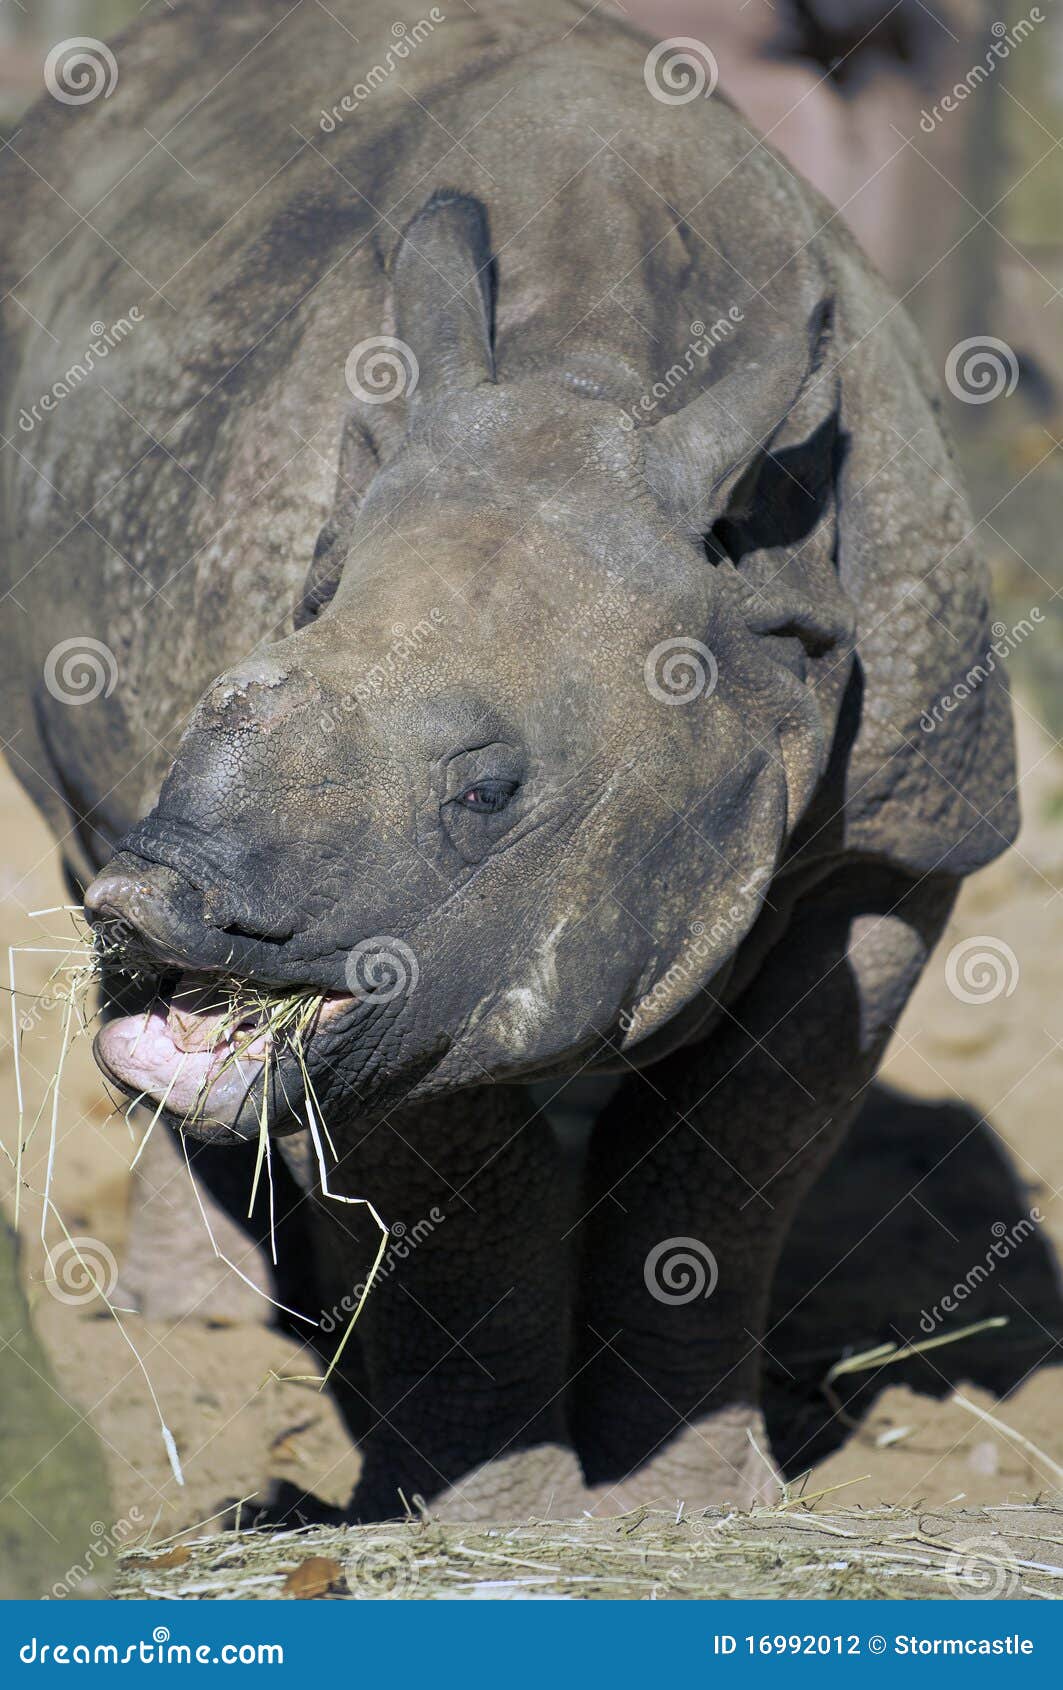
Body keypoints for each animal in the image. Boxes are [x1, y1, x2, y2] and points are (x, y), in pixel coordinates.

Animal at [0, 0, 1016, 1521]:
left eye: (486, 792)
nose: (160, 903)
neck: (589, 380)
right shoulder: (404, 948)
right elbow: (477, 1194)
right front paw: (502, 1515)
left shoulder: (903, 842)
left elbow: (730, 1161)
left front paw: (689, 1506)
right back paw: (199, 1330)